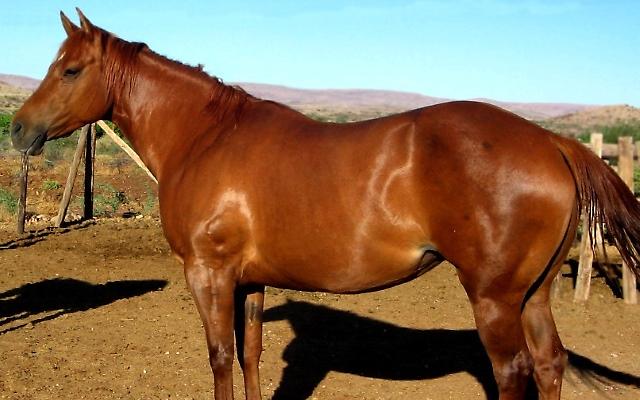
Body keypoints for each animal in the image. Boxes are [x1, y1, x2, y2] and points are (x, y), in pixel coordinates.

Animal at [11, 9, 640, 400]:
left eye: (70, 70)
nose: (18, 129)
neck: (205, 136)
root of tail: (550, 142)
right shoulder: (250, 280)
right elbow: (250, 355)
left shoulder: (208, 274)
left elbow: (220, 357)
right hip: (534, 293)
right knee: (551, 364)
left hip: (495, 298)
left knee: (513, 372)